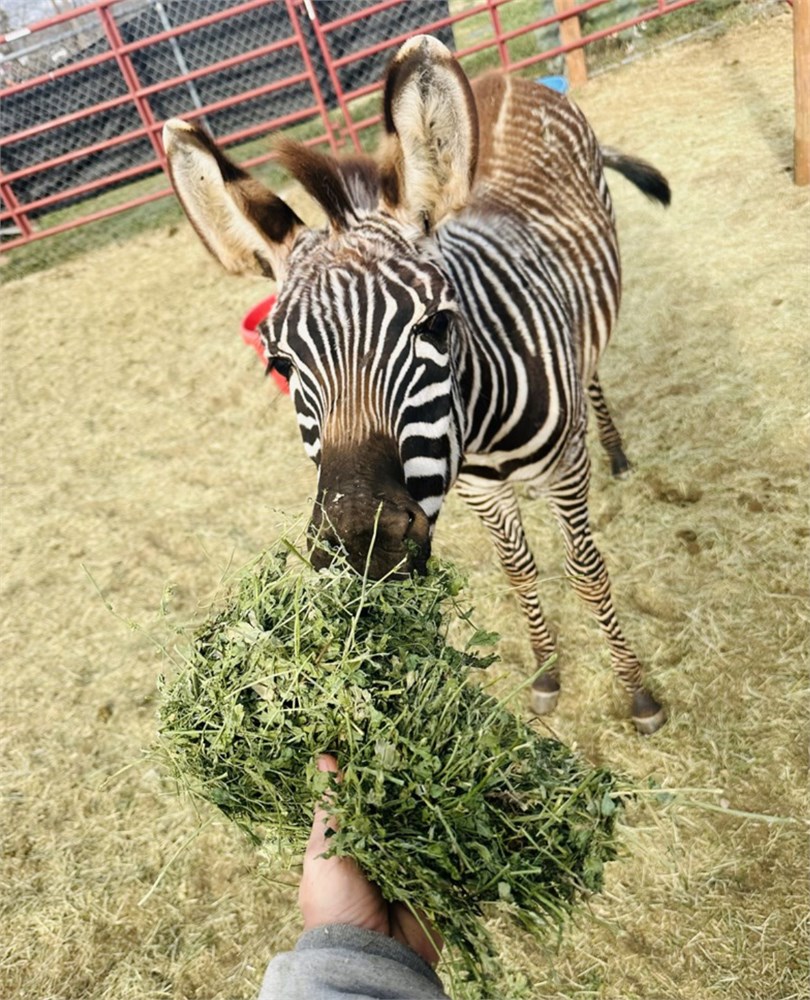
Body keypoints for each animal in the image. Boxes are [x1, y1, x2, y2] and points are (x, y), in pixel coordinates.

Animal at [163, 35, 670, 733]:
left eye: (435, 325)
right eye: (282, 365)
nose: (363, 545)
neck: (480, 428)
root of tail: (503, 76)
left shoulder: (565, 469)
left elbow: (586, 571)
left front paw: (637, 691)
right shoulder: (483, 490)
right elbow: (520, 572)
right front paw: (545, 675)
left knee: (592, 371)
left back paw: (617, 450)